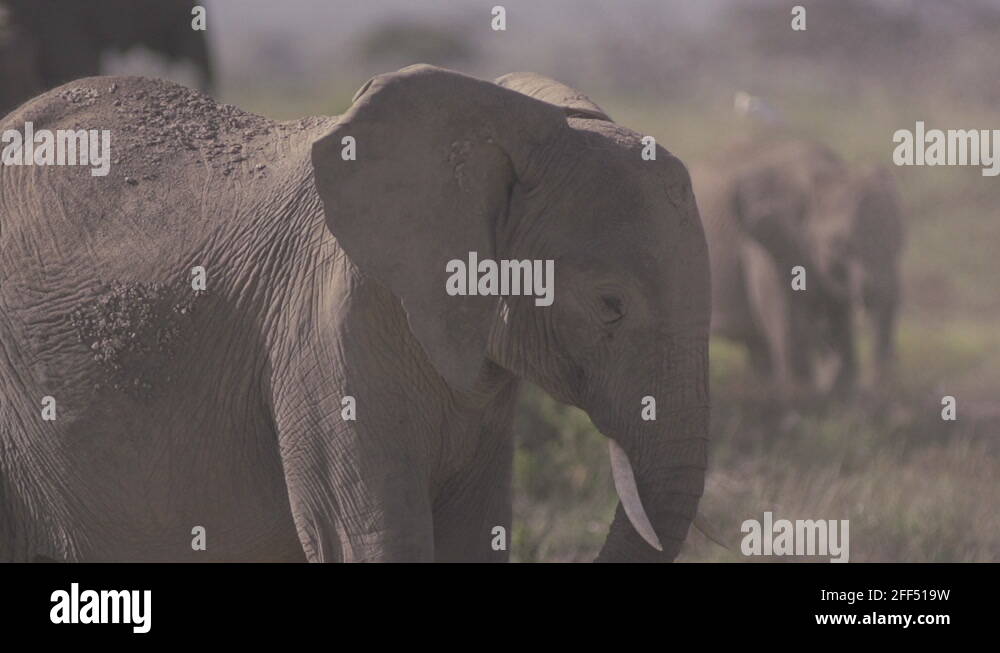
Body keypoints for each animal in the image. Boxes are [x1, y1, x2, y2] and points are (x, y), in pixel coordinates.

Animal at [693, 139, 904, 397]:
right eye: (839, 244)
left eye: (900, 238)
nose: (880, 385)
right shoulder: (762, 236)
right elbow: (782, 309)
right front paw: (801, 390)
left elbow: (839, 311)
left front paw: (840, 388)